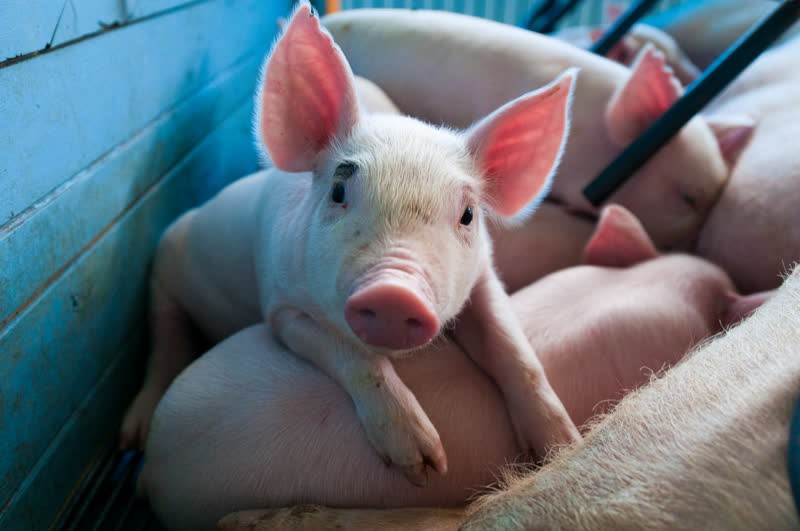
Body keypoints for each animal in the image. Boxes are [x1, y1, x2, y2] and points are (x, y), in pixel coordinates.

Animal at [121, 1, 582, 485]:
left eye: (468, 215)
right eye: (339, 191)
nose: (395, 291)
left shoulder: (483, 277)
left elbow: (515, 351)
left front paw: (564, 449)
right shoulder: (281, 308)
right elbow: (354, 356)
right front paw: (425, 467)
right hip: (162, 275)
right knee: (165, 339)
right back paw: (132, 438)